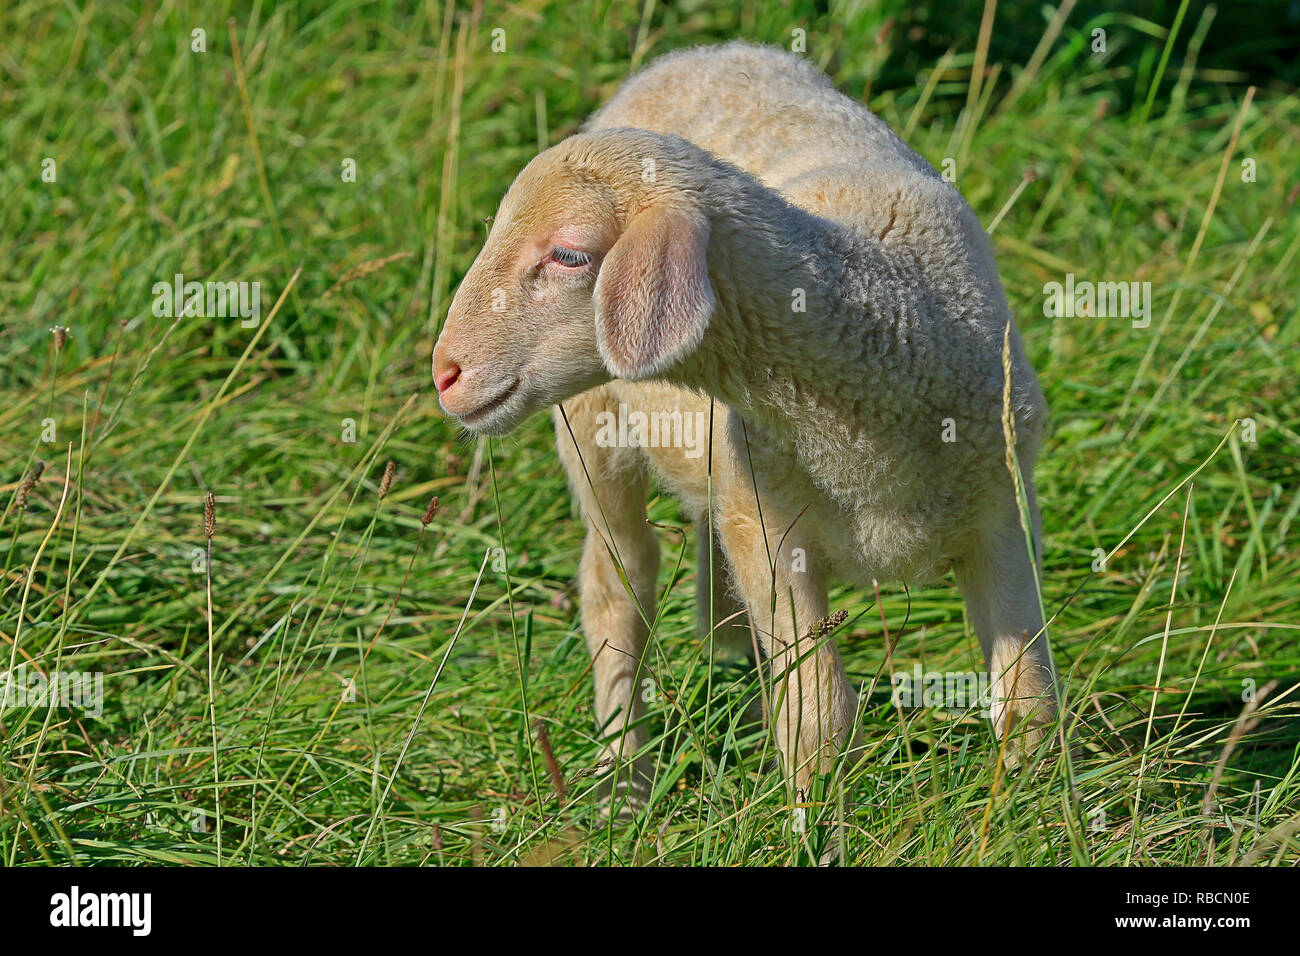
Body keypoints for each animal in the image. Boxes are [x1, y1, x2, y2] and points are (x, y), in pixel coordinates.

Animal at [432, 41, 1057, 803]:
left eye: (569, 254)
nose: (444, 372)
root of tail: (699, 52)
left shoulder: (1004, 509)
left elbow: (1028, 696)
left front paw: (1030, 804)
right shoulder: (771, 532)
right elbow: (821, 713)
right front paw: (813, 814)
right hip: (594, 427)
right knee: (618, 582)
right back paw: (622, 781)